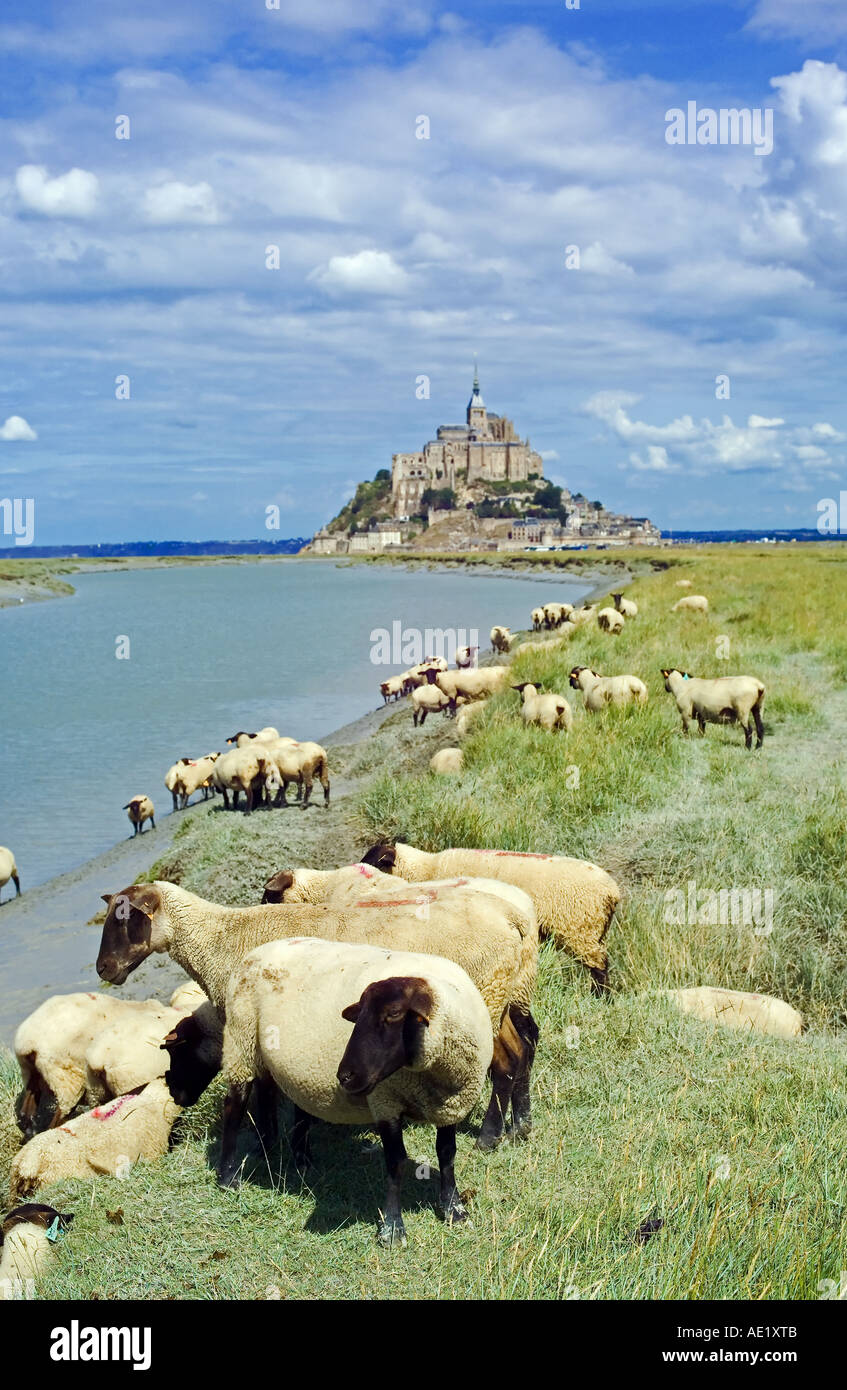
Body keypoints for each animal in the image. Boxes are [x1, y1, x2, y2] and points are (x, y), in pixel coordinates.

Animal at [97, 878, 540, 1150]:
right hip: (501, 992)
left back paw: (489, 1136)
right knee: (521, 1052)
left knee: (503, 1063)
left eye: (127, 920)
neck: (218, 941)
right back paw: (520, 1126)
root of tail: (512, 916)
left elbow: (266, 1090)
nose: (103, 969)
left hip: (483, 999)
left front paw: (268, 1145)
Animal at [219, 937, 493, 1244]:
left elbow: (447, 1154)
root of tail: (260, 949)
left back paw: (290, 1157)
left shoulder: (449, 1105)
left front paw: (453, 1209)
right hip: (240, 1040)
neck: (433, 1075)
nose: (345, 1076)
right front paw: (392, 1228)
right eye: (357, 1017)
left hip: (272, 1058)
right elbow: (396, 1162)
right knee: (235, 1104)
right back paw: (228, 1177)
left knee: (272, 1095)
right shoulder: (385, 1101)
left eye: (394, 1014)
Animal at [361, 842, 620, 993]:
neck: (426, 870)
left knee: (600, 968)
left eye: (375, 862)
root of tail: (613, 892)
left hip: (581, 930)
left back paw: (601, 998)